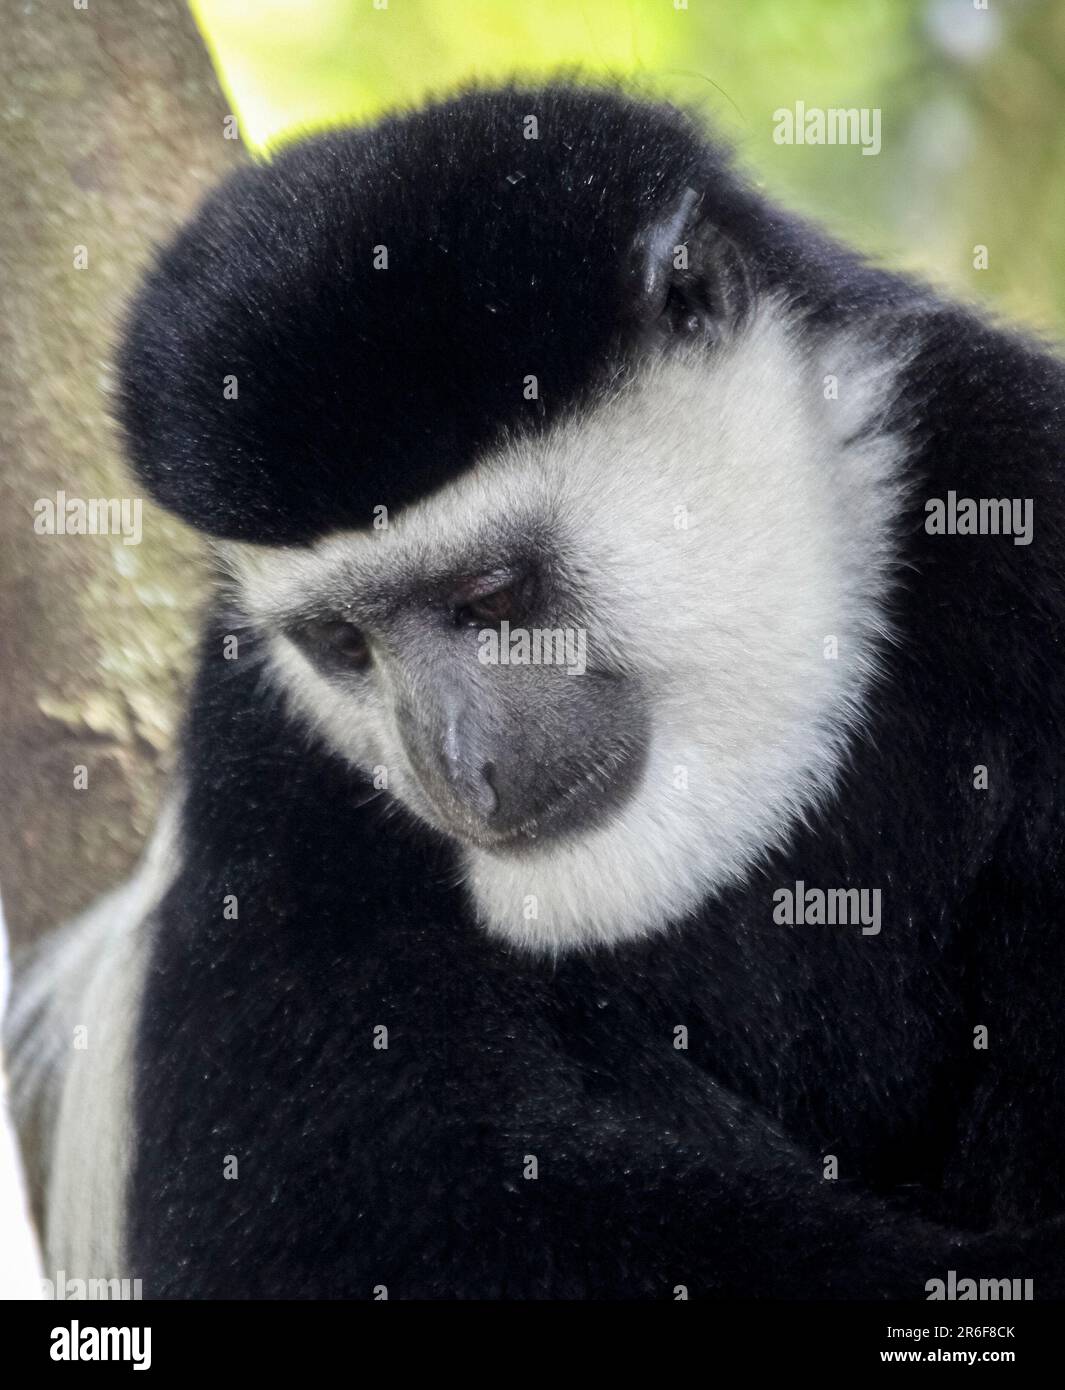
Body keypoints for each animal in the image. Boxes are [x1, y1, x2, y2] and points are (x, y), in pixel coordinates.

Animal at [7, 81, 1065, 1299]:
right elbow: (343, 1212)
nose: (451, 764)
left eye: (494, 595)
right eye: (341, 642)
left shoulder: (1021, 494)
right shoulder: (265, 771)